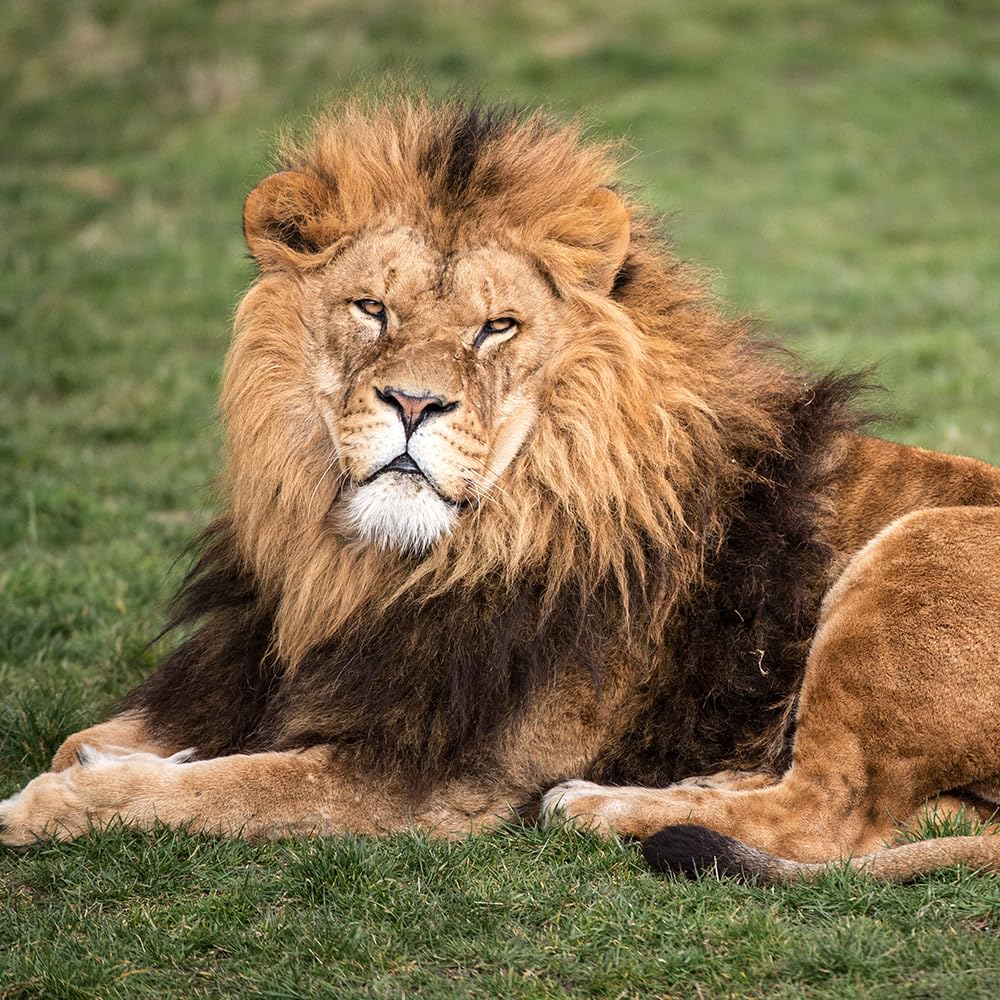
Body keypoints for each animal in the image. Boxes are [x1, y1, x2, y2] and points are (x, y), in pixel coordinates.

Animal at [1, 99, 1000, 884]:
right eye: (372, 308)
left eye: (496, 327)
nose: (413, 403)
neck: (374, 563)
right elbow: (95, 740)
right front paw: (96, 756)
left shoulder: (439, 775)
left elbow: (227, 788)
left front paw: (50, 807)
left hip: (918, 549)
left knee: (828, 814)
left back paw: (599, 805)